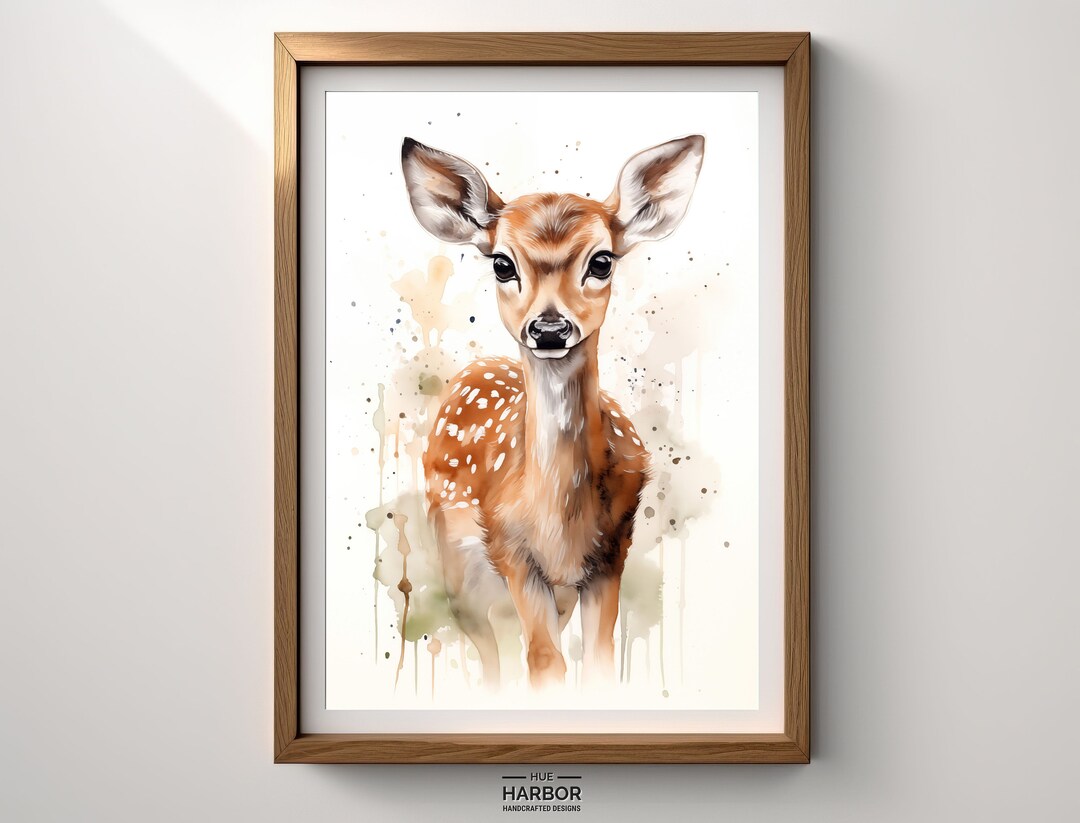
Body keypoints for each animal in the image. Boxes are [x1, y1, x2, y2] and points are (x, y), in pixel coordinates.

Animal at [400, 134, 705, 688]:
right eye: (502, 263)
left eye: (602, 260)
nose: (548, 329)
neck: (559, 522)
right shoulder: (512, 552)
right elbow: (544, 663)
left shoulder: (613, 551)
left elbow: (599, 658)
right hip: (453, 558)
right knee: (488, 649)